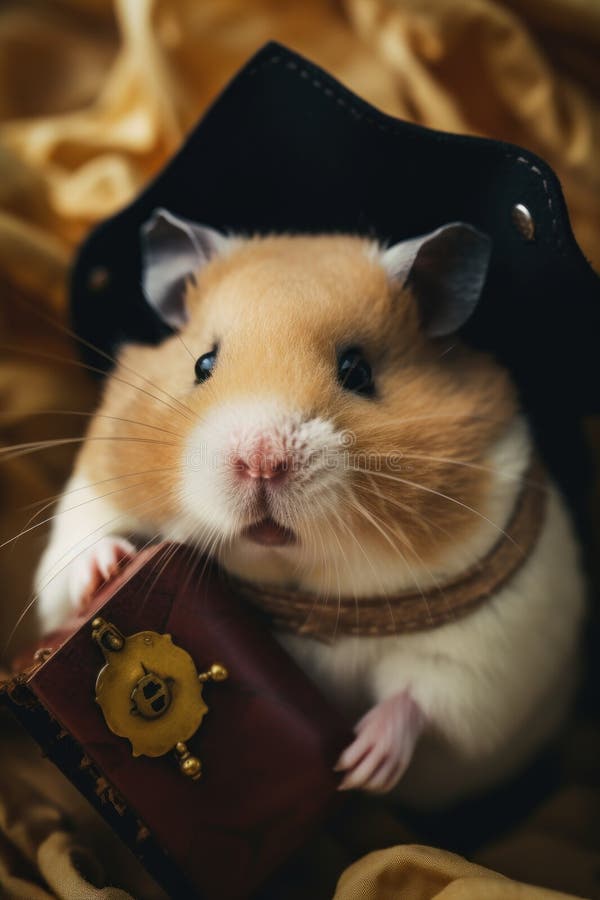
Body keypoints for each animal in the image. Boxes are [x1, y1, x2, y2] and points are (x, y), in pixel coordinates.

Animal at [34, 209, 586, 809]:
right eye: (203, 363)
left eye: (358, 371)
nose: (261, 461)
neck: (296, 573)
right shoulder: (90, 492)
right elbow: (78, 551)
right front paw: (106, 568)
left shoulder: (494, 634)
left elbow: (423, 697)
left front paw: (359, 766)